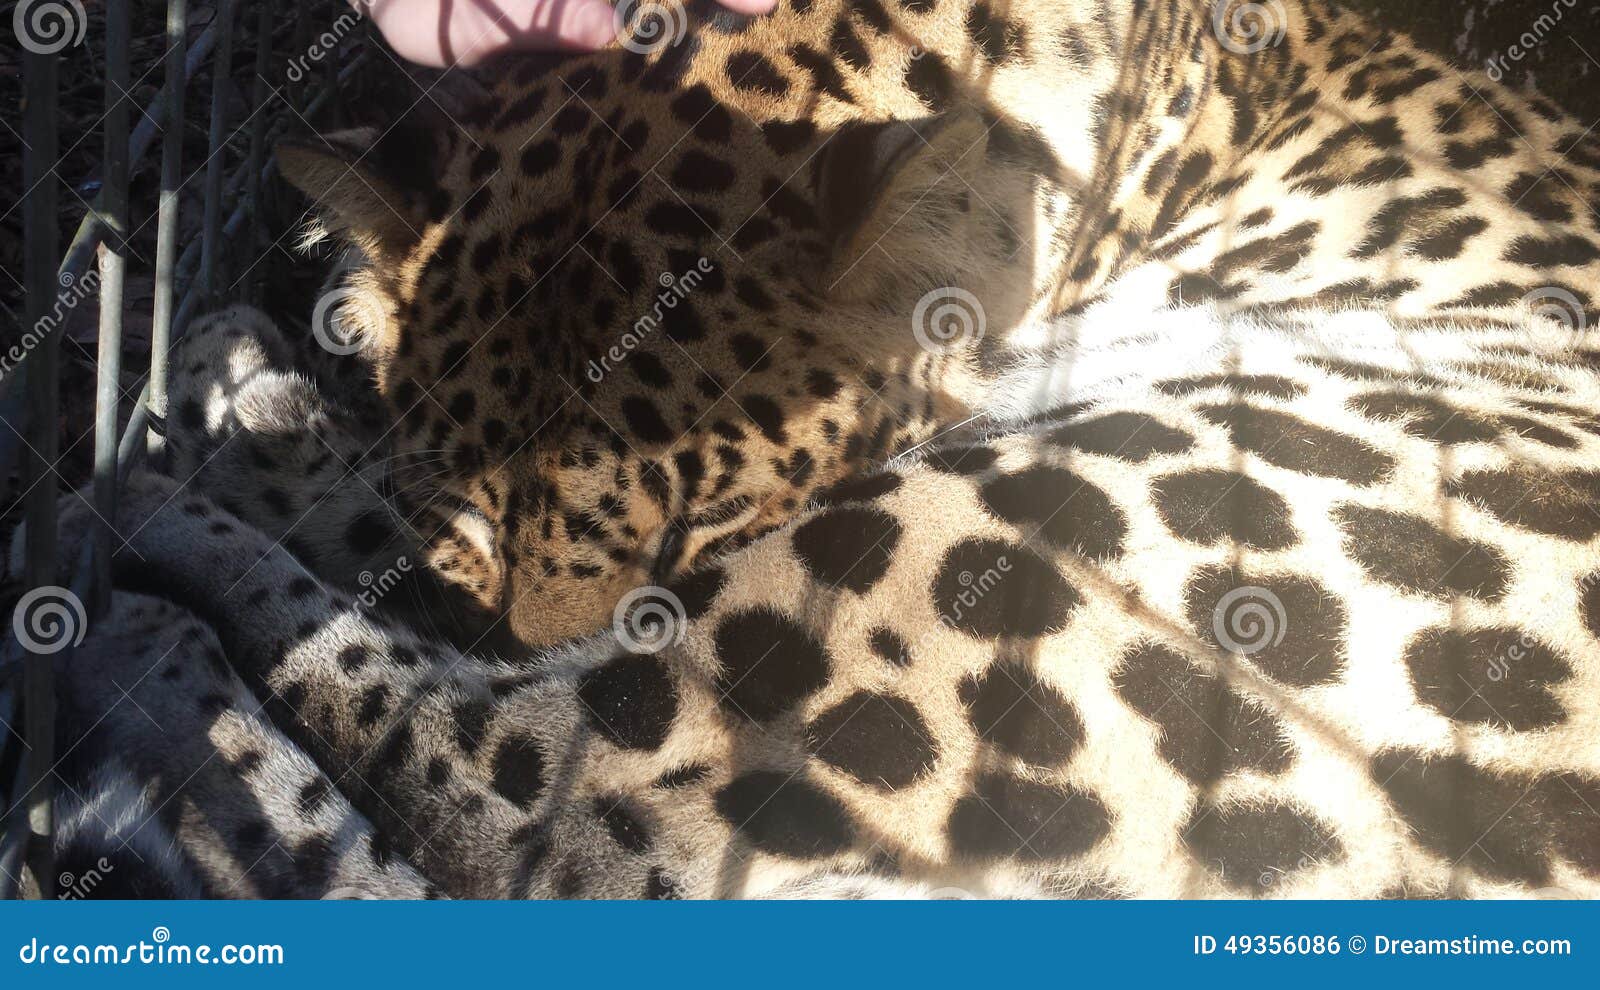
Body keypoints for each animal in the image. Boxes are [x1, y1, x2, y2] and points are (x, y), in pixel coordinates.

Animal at [7, 0, 1600, 899]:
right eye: (464, 531)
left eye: (696, 539)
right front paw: (266, 380)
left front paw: (210, 433)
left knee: (523, 807)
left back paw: (126, 590)